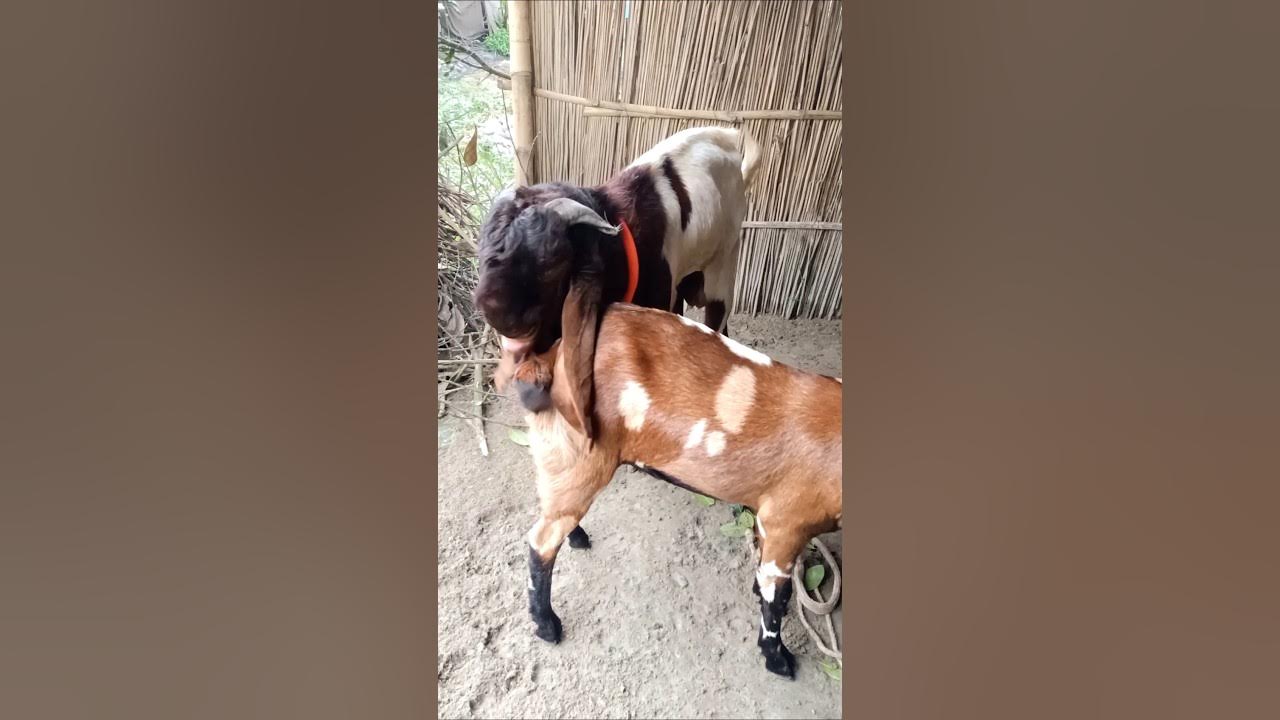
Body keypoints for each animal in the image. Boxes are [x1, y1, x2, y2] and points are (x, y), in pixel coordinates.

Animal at [495, 303, 842, 679]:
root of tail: (551, 358)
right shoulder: (787, 522)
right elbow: (777, 596)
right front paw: (777, 658)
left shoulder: (768, 519)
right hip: (579, 457)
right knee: (541, 542)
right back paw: (547, 626)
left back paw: (577, 539)